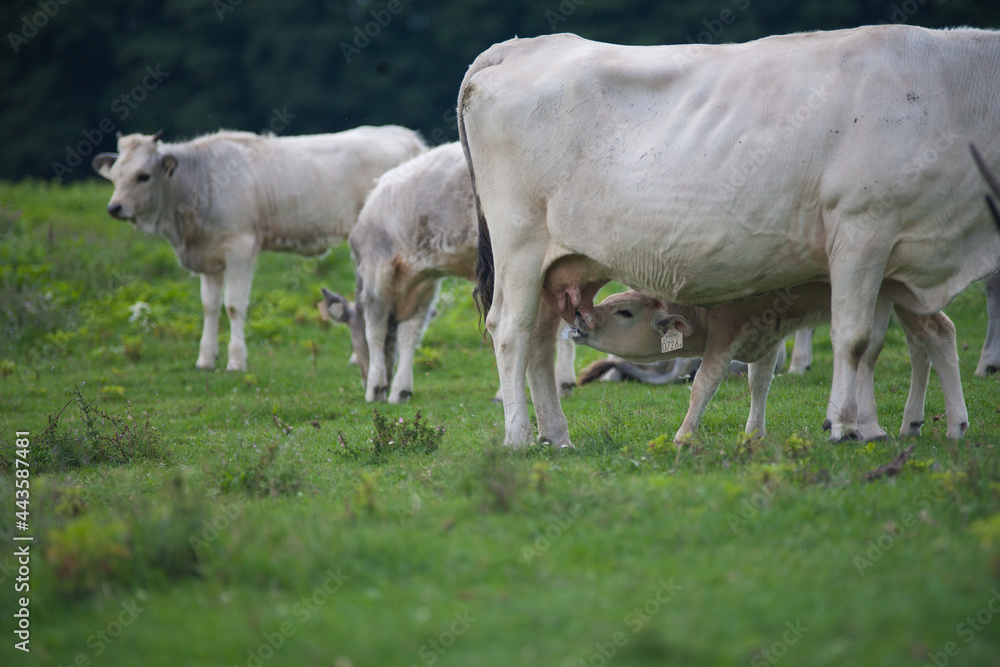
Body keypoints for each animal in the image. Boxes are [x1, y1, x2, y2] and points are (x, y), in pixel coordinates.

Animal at [92, 127, 427, 370]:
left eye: (143, 176)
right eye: (115, 176)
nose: (114, 208)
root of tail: (405, 136)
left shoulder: (240, 247)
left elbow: (234, 305)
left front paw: (236, 361)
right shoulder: (209, 255)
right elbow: (209, 306)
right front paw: (205, 359)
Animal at [319, 142, 576, 403]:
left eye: (352, 344)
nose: (362, 378)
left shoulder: (376, 273)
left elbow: (375, 331)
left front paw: (375, 387)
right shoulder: (424, 285)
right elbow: (409, 334)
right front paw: (400, 389)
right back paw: (562, 382)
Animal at [566, 286, 967, 442]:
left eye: (624, 312)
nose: (581, 319)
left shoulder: (726, 335)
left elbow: (704, 385)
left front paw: (682, 436)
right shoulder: (768, 336)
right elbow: (758, 382)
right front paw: (753, 434)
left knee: (938, 334)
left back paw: (955, 425)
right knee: (920, 346)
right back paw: (911, 421)